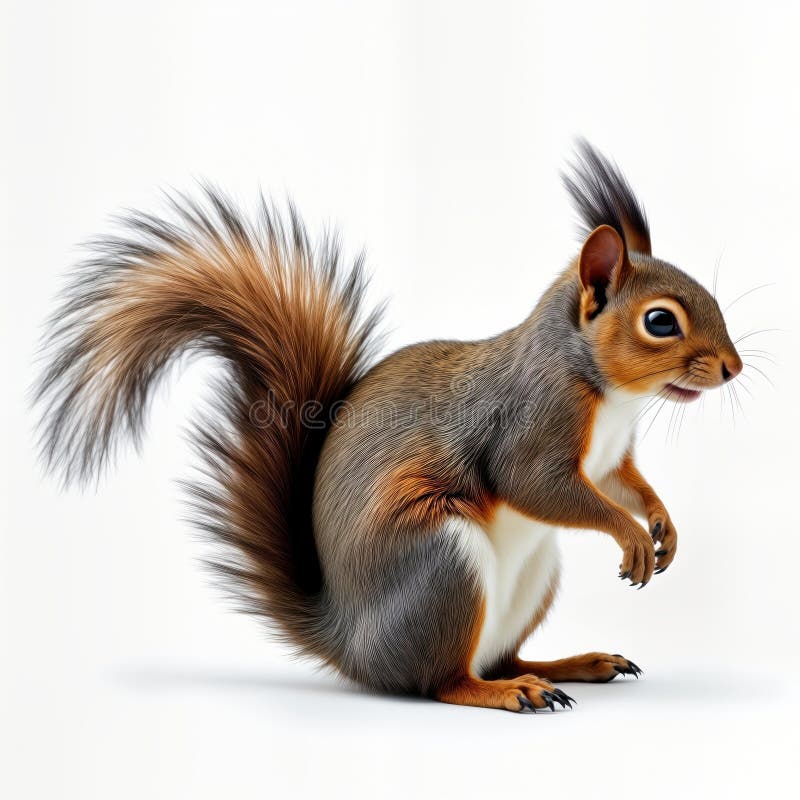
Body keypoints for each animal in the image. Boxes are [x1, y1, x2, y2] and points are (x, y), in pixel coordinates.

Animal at [36, 141, 743, 713]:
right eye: (660, 321)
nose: (734, 368)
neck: (609, 394)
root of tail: (350, 644)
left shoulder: (611, 458)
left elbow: (628, 484)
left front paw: (662, 525)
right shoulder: (530, 422)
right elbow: (534, 484)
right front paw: (631, 535)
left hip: (533, 575)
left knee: (499, 656)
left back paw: (572, 665)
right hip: (442, 563)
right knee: (442, 681)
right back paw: (510, 692)